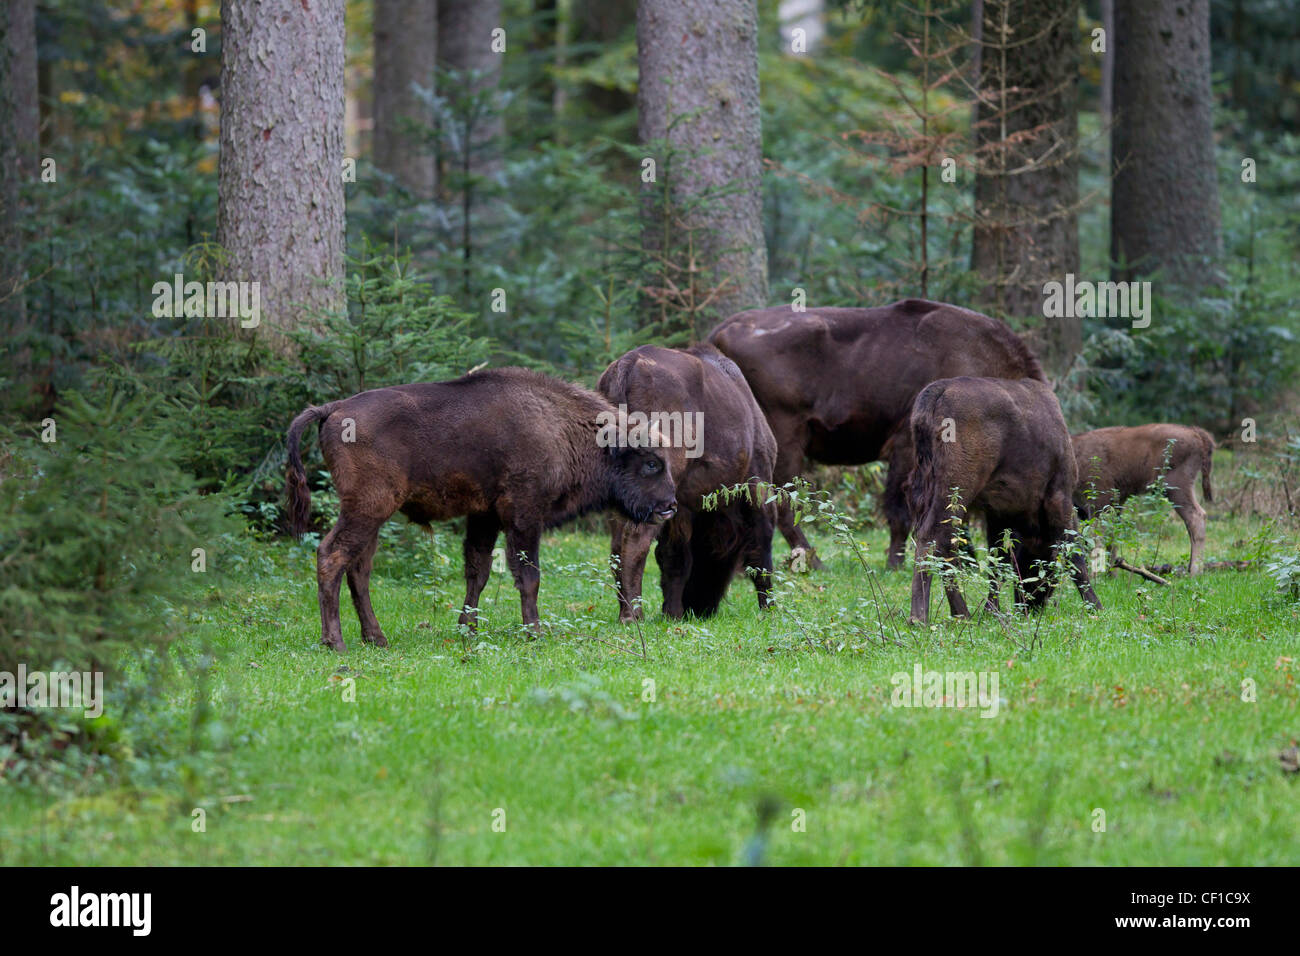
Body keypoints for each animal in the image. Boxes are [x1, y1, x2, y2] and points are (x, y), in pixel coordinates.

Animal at [286, 366, 681, 650]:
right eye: (650, 463)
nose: (669, 506)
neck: (558, 425)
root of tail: (332, 409)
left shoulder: (484, 516)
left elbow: (478, 571)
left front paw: (468, 630)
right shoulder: (523, 514)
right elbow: (528, 576)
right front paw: (534, 632)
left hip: (373, 515)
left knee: (359, 568)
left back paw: (376, 638)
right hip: (366, 508)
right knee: (332, 555)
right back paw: (335, 642)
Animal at [600, 343, 780, 621]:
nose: (701, 607)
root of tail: (629, 365)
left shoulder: (680, 509)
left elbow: (674, 559)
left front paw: (671, 612)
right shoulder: (758, 487)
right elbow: (762, 554)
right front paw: (769, 609)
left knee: (617, 547)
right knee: (634, 541)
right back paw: (632, 616)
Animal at [712, 299, 1045, 567]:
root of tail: (722, 331)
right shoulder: (906, 449)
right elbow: (902, 511)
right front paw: (896, 564)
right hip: (787, 440)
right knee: (781, 504)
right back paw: (815, 563)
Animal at [909, 377, 1102, 624]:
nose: (1030, 605)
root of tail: (939, 390)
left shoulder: (997, 513)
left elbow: (997, 560)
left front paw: (992, 610)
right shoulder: (1059, 496)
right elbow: (1074, 553)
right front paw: (1096, 606)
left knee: (945, 543)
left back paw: (962, 613)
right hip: (956, 489)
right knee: (930, 538)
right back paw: (919, 617)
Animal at [1071, 421, 1211, 572]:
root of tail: (1196, 434)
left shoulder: (1099, 502)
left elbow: (1097, 538)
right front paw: (1111, 572)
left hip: (1175, 487)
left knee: (1197, 516)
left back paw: (1195, 571)